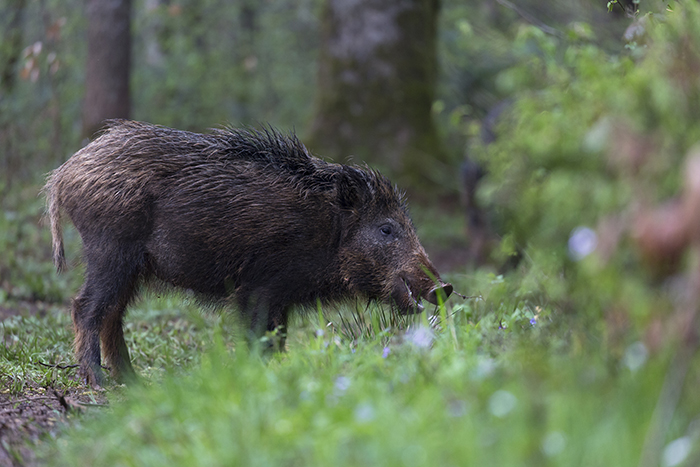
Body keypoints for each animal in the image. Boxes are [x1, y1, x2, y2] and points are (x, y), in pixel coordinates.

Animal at [44, 120, 452, 387]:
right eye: (386, 228)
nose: (444, 288)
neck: (328, 231)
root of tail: (64, 174)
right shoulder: (259, 288)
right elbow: (260, 337)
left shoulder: (281, 295)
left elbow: (278, 337)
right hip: (110, 249)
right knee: (85, 307)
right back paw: (98, 383)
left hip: (131, 267)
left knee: (113, 314)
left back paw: (134, 382)